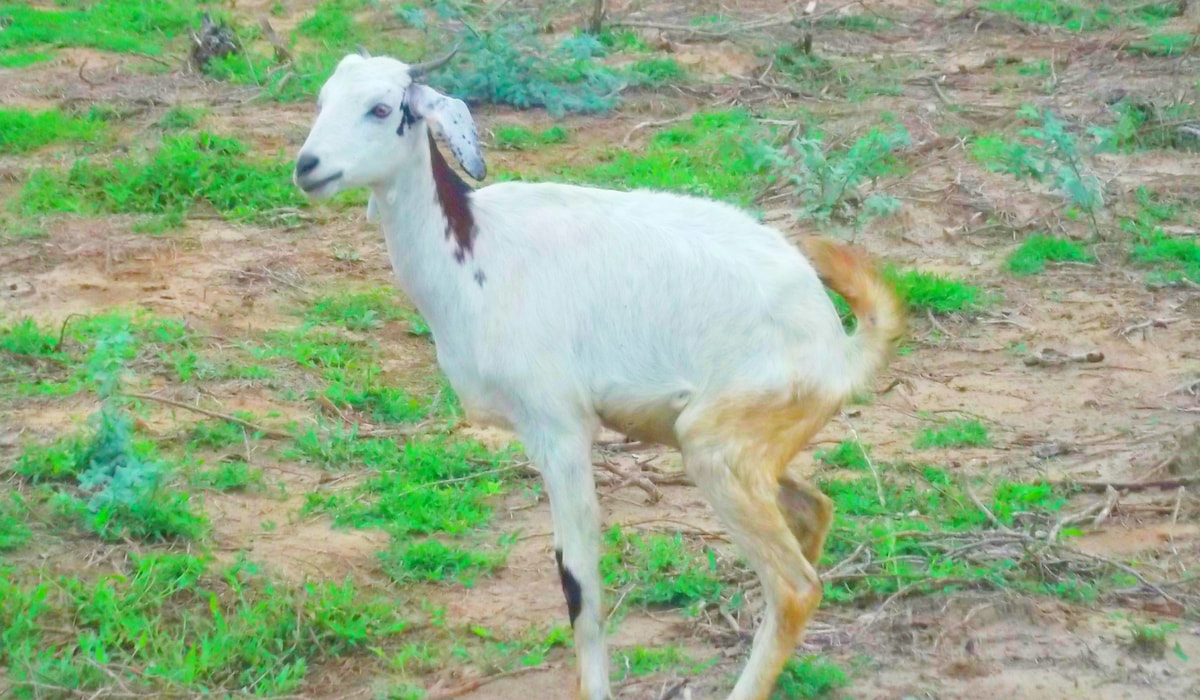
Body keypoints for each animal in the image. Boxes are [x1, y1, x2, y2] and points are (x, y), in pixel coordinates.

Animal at [293, 52, 904, 700]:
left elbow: (578, 581)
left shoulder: (559, 430)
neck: (477, 257)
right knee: (813, 512)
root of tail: (837, 344)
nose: (308, 167)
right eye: (322, 99)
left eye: (382, 108)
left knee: (796, 586)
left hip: (717, 447)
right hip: (744, 450)